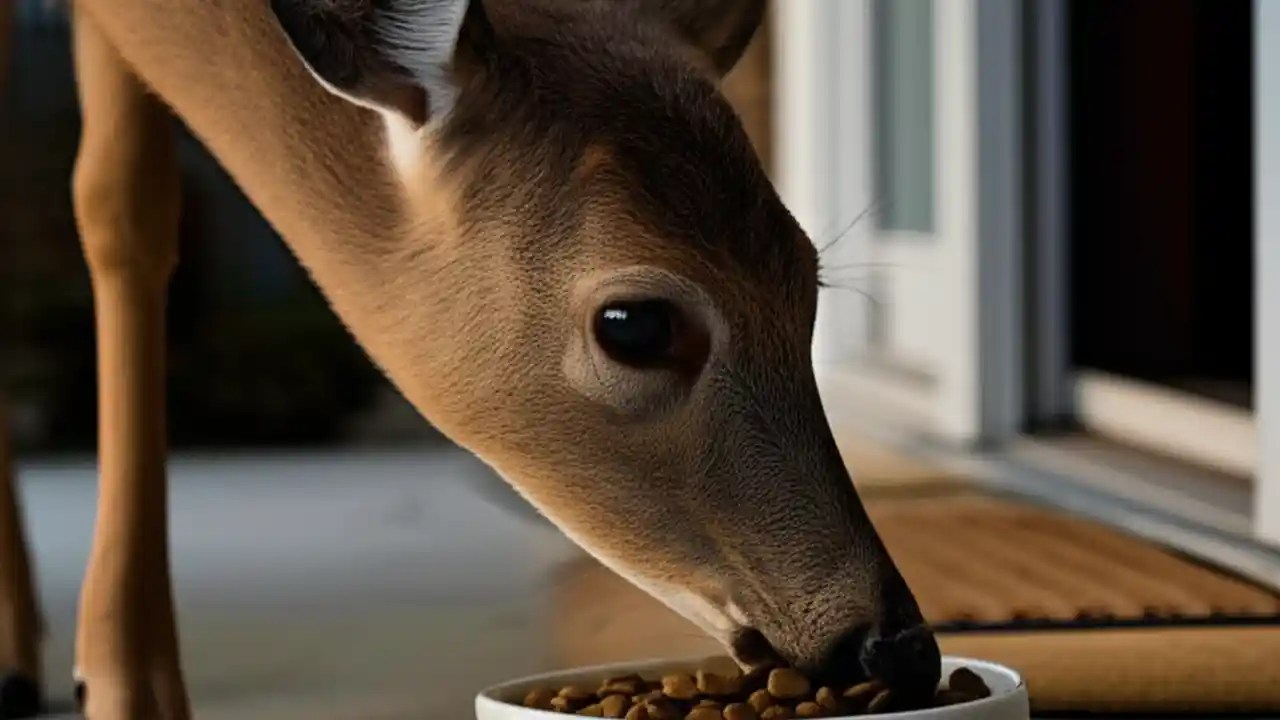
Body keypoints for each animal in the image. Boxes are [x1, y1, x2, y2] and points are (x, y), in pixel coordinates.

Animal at [0, 1, 942, 718]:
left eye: (805, 280)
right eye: (634, 324)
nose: (900, 648)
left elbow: (130, 209)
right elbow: (114, 208)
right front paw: (125, 687)